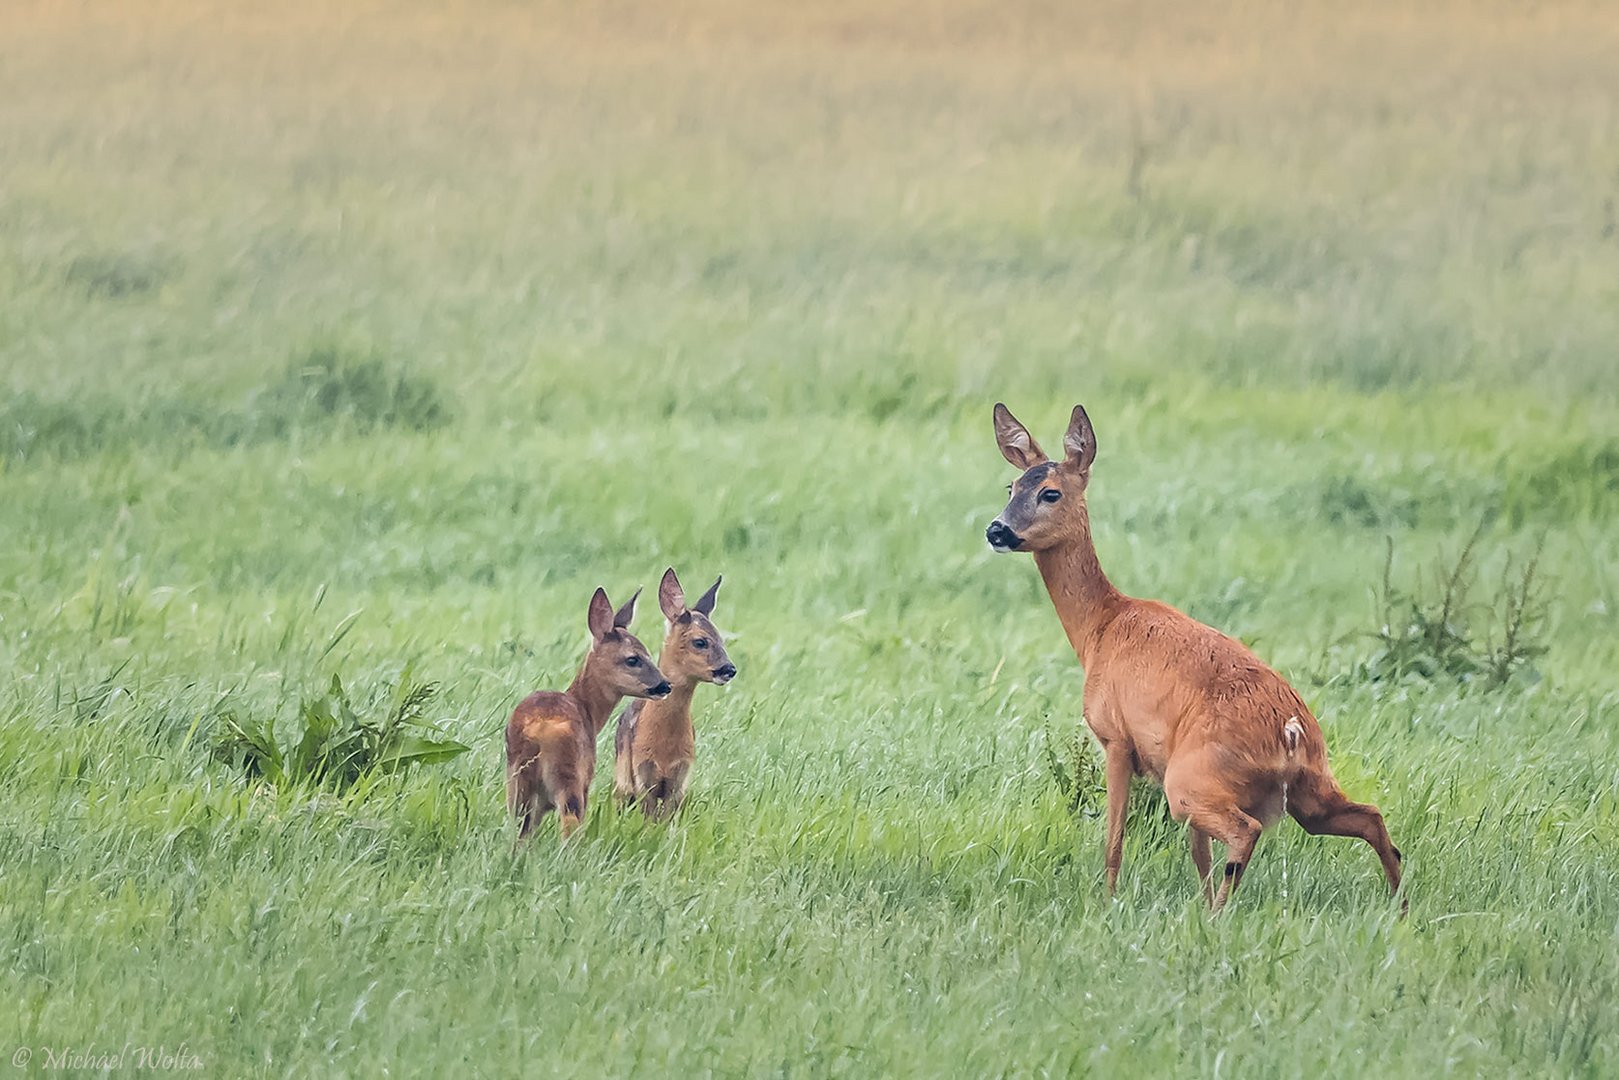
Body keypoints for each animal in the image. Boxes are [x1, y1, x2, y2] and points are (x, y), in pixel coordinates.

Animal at [498, 592, 663, 841]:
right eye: (633, 659)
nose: (665, 684)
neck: (587, 711)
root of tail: (538, 731)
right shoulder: (586, 778)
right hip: (569, 777)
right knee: (570, 824)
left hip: (516, 783)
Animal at [608, 569, 738, 816]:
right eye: (700, 641)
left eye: (722, 639)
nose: (729, 669)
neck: (664, 750)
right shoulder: (643, 776)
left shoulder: (680, 780)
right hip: (623, 781)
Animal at [984, 401, 1405, 906]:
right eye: (1011, 487)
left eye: (1050, 493)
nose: (996, 529)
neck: (1100, 628)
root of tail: (1291, 731)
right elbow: (1198, 856)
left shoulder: (1117, 737)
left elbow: (1114, 837)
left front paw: (1108, 900)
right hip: (1310, 789)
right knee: (1372, 817)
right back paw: (1400, 909)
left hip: (1191, 779)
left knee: (1246, 831)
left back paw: (1223, 914)